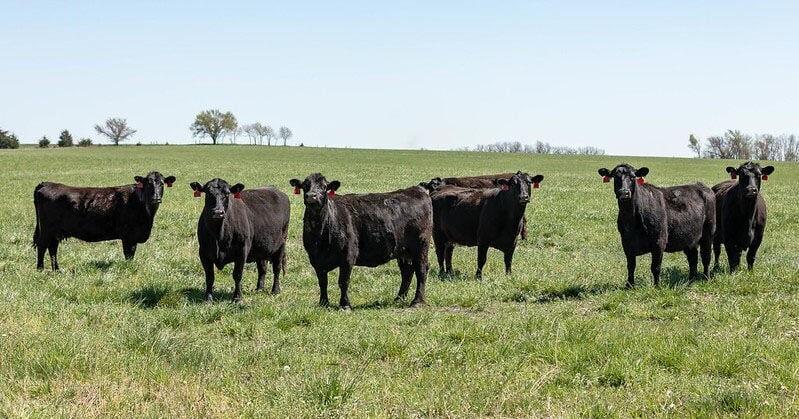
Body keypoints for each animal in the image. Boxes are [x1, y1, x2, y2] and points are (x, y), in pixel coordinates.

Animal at [33, 171, 176, 270]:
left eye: (162, 183)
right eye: (148, 184)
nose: (156, 198)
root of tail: (46, 183)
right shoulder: (128, 236)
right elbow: (129, 254)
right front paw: (129, 268)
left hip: (55, 232)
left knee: (52, 248)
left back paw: (56, 270)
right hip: (46, 229)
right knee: (42, 246)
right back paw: (40, 269)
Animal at [289, 173, 432, 309]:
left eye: (324, 187)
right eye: (305, 186)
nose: (311, 196)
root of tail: (417, 189)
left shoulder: (348, 256)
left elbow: (343, 281)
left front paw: (345, 304)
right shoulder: (316, 260)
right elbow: (322, 282)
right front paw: (323, 303)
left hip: (421, 246)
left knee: (421, 270)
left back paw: (417, 301)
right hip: (403, 251)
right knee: (407, 271)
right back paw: (399, 299)